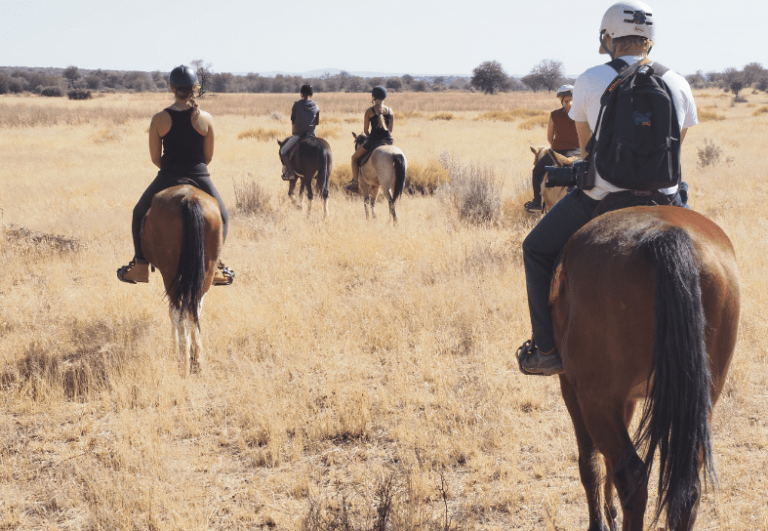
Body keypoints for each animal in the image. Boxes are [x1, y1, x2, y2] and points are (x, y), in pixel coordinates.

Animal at [141, 184, 223, 377]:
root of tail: (189, 199)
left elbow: (172, 313)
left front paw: (175, 349)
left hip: (169, 272)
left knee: (179, 312)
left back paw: (182, 360)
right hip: (206, 272)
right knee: (194, 309)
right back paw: (195, 360)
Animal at [549, 206, 740, 530]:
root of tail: (664, 236)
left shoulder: (572, 388)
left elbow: (590, 463)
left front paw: (602, 521)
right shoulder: (625, 399)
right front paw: (610, 514)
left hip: (595, 401)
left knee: (633, 480)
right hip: (701, 403)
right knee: (687, 490)